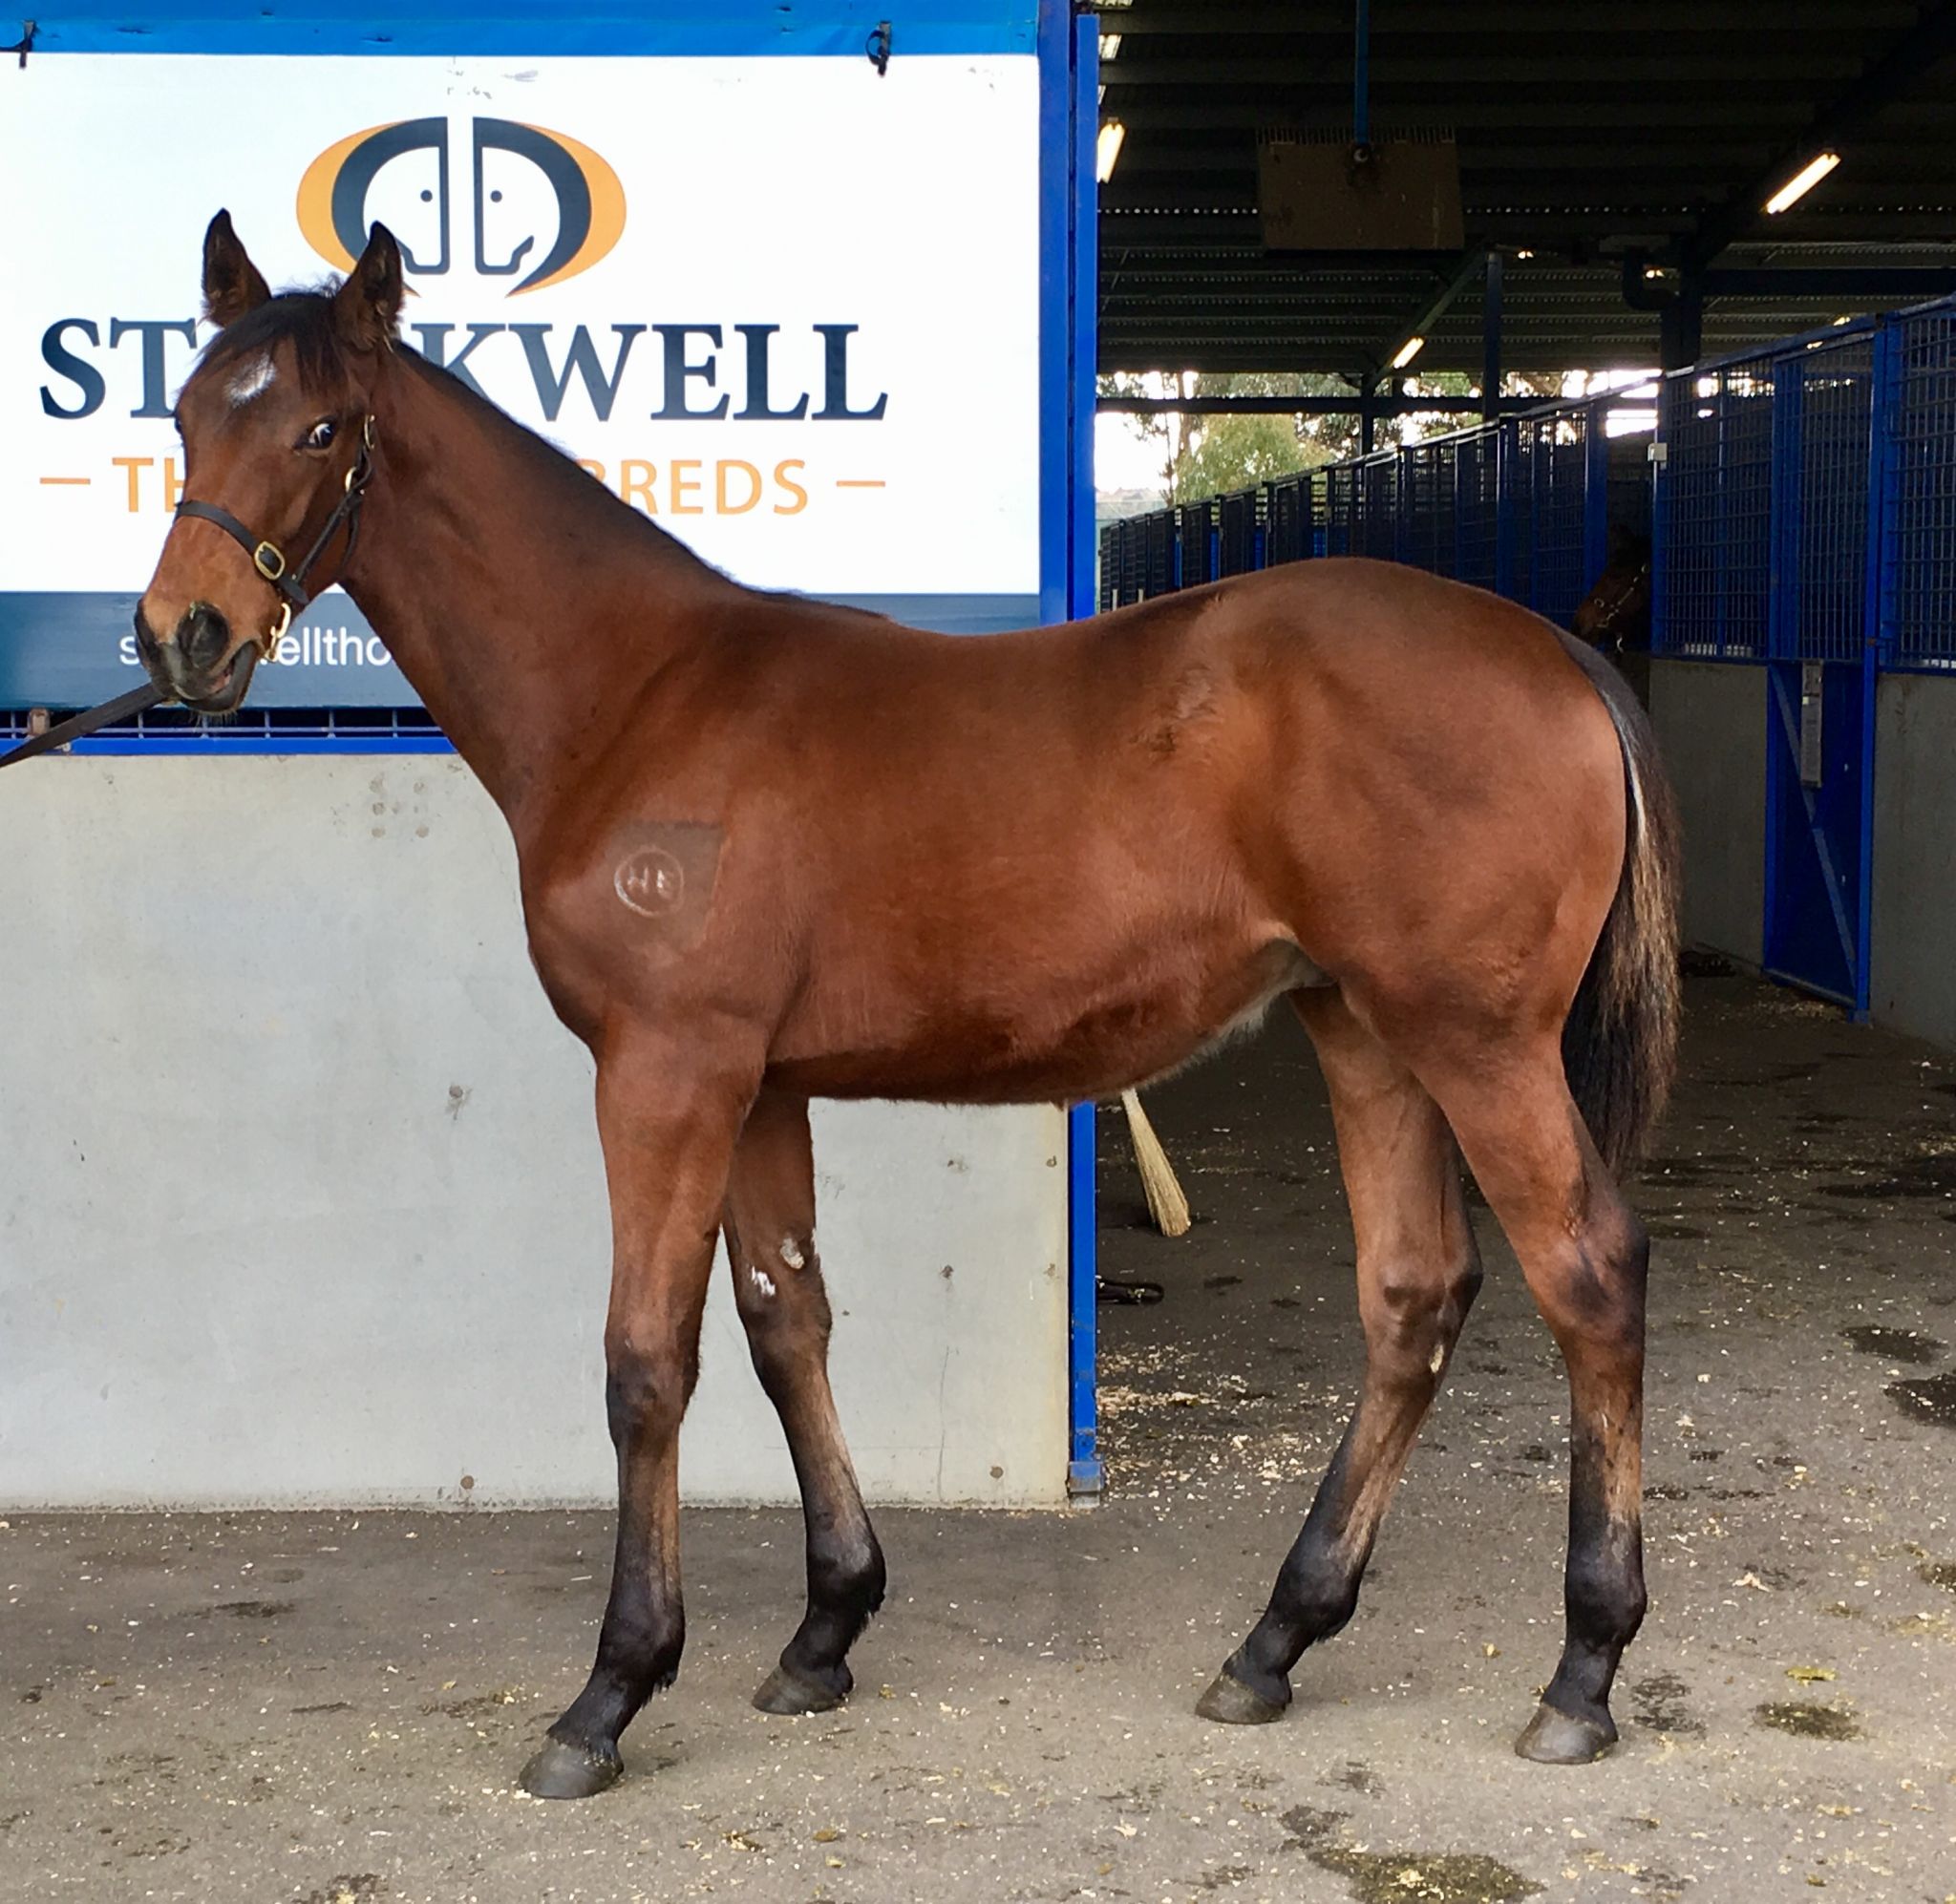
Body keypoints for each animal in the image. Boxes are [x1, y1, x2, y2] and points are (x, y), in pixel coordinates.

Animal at [131, 212, 1681, 1801]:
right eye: (183, 414)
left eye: (321, 427)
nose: (182, 635)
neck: (638, 693)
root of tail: (1555, 652)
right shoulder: (757, 1081)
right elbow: (784, 1324)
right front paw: (826, 1627)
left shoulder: (665, 1071)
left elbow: (647, 1362)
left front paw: (612, 1688)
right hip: (1363, 1028)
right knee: (1415, 1292)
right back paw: (1275, 1641)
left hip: (1478, 1043)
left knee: (1589, 1275)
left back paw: (1582, 1666)